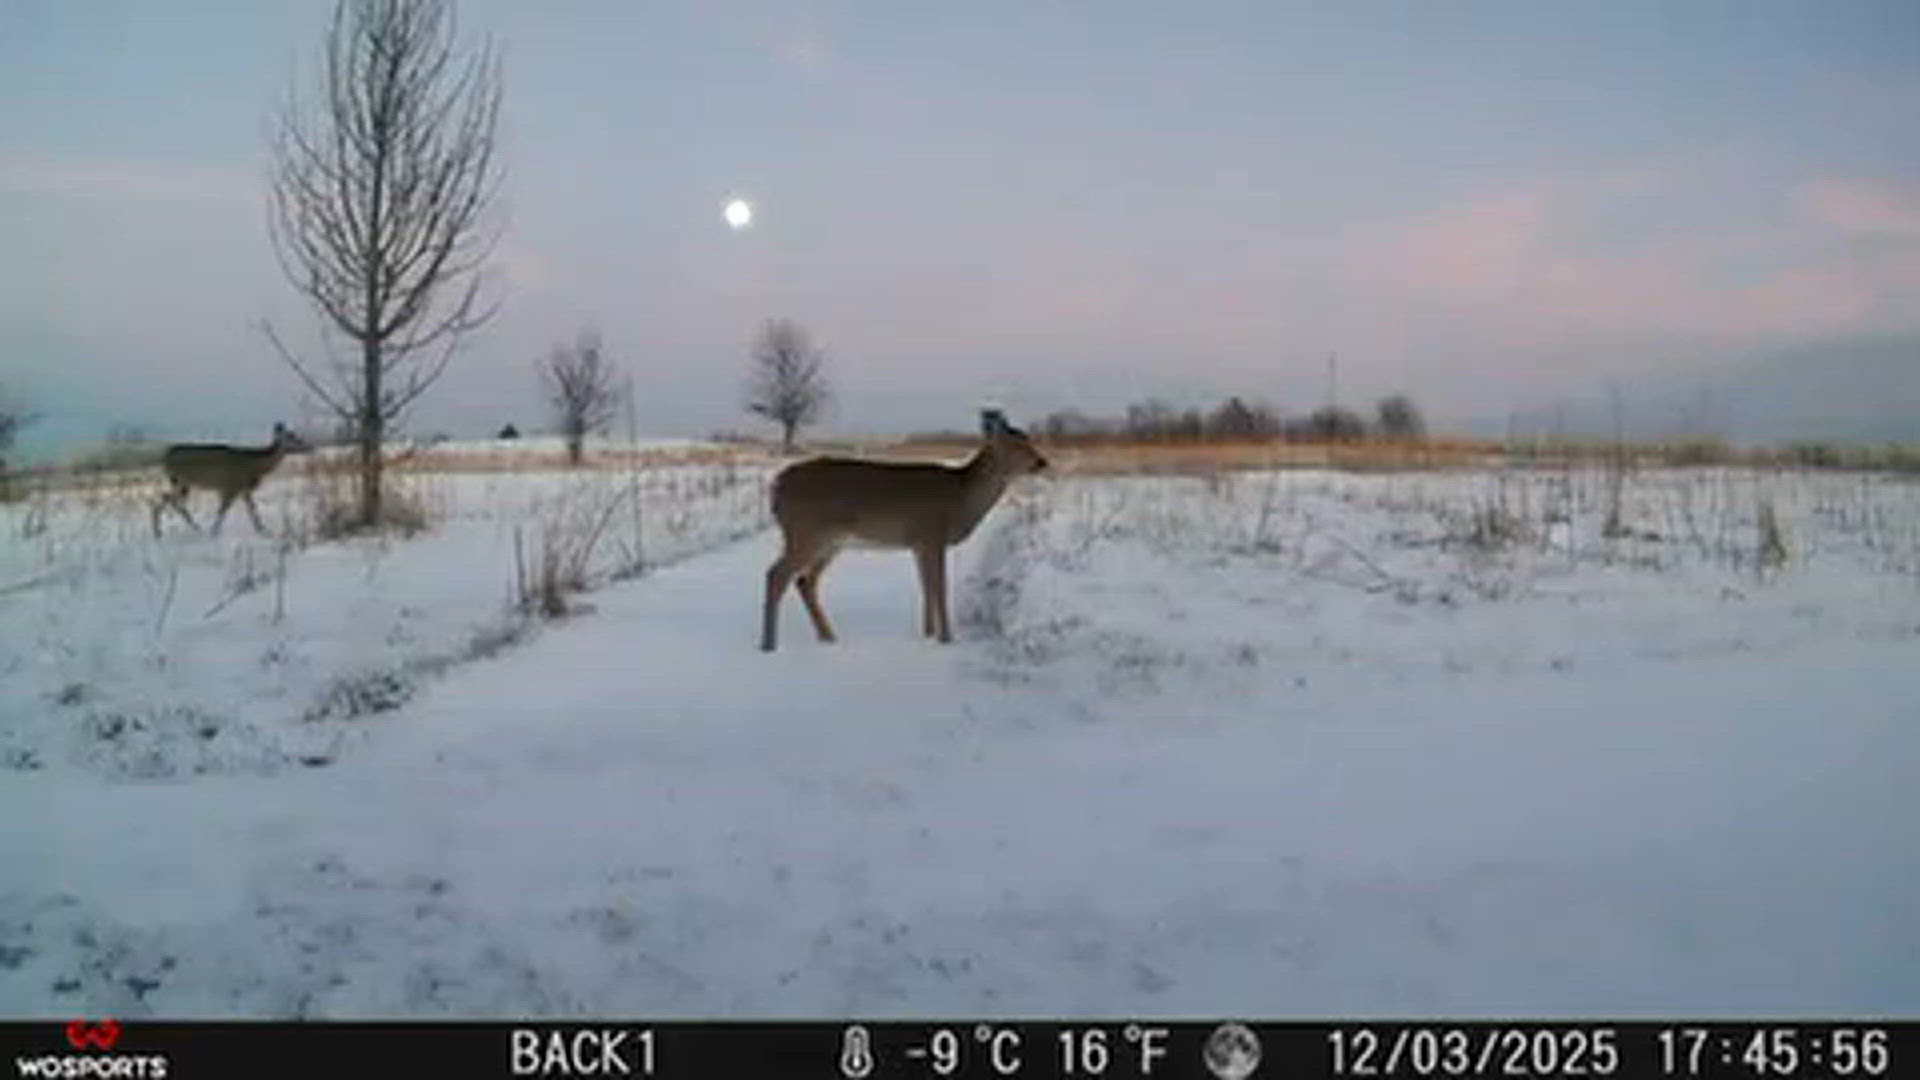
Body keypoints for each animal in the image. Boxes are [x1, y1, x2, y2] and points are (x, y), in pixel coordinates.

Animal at [151, 422, 308, 538]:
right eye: (292, 436)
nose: (307, 445)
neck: (255, 465)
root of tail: (166, 456)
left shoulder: (243, 489)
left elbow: (252, 509)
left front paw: (263, 530)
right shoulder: (230, 486)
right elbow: (223, 510)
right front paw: (214, 532)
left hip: (181, 482)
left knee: (169, 499)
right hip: (181, 479)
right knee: (169, 500)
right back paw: (167, 530)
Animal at [761, 409, 1048, 652]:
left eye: (1029, 439)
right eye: (1017, 444)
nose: (1042, 462)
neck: (962, 497)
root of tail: (777, 485)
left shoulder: (918, 543)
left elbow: (926, 587)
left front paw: (928, 635)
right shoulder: (932, 534)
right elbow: (940, 587)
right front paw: (946, 640)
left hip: (832, 542)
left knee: (804, 581)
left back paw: (828, 637)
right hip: (806, 531)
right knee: (776, 575)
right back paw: (769, 644)